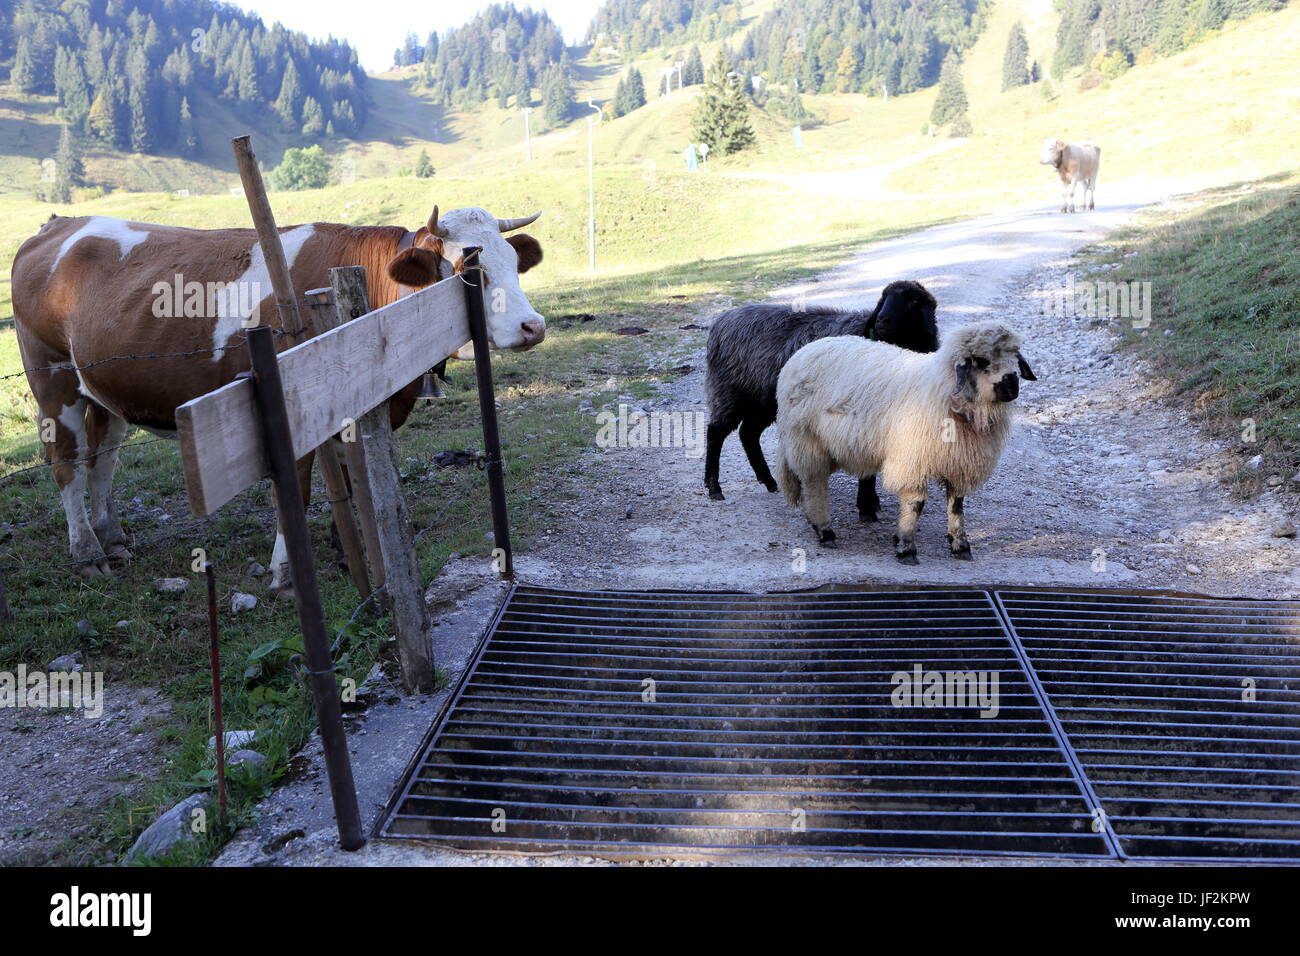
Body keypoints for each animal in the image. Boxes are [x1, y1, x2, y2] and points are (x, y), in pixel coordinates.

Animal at [8, 205, 543, 587]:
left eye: (514, 263)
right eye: (468, 269)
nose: (533, 326)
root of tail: (58, 225)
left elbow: (351, 478)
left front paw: (351, 551)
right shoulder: (288, 403)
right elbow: (299, 488)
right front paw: (285, 571)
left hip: (102, 387)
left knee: (102, 458)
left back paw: (113, 537)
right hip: (52, 379)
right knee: (65, 463)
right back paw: (87, 553)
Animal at [707, 280, 941, 520]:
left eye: (913, 300)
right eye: (883, 299)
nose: (881, 319)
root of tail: (723, 320)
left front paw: (872, 502)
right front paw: (866, 507)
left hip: (765, 401)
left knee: (748, 433)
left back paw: (770, 481)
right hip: (731, 391)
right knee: (716, 432)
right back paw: (714, 487)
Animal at [774, 321, 1040, 561]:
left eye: (1014, 356)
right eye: (981, 360)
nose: (1011, 385)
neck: (942, 392)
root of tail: (805, 350)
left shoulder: (958, 463)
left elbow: (956, 506)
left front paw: (960, 545)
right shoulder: (913, 460)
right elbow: (915, 504)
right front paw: (906, 547)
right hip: (806, 441)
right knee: (813, 484)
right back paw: (825, 531)